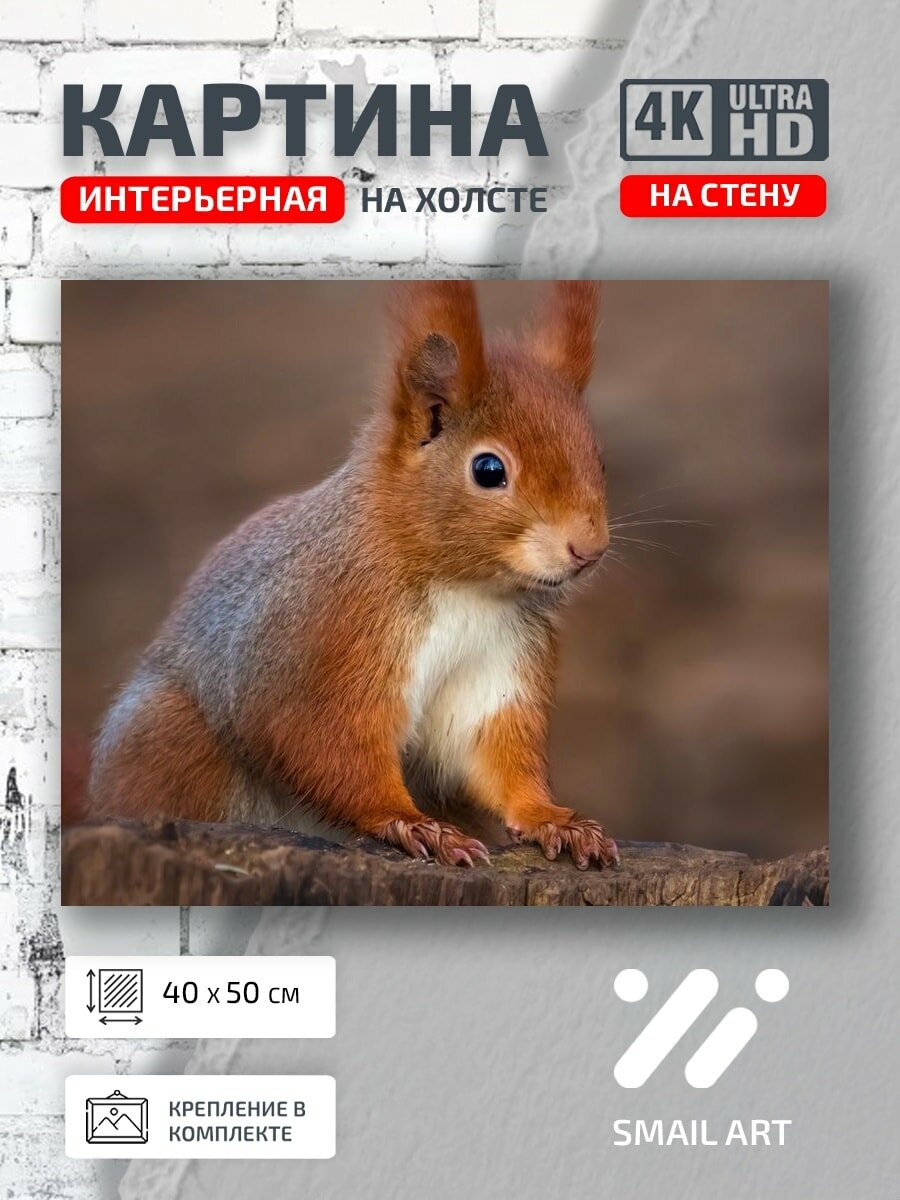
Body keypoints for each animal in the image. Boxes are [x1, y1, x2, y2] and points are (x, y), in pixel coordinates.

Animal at [88, 280, 618, 871]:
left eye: (598, 458)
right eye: (488, 470)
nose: (589, 549)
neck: (465, 588)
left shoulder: (498, 667)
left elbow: (497, 756)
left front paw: (555, 819)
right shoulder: (324, 644)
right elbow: (329, 750)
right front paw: (410, 823)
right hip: (171, 738)